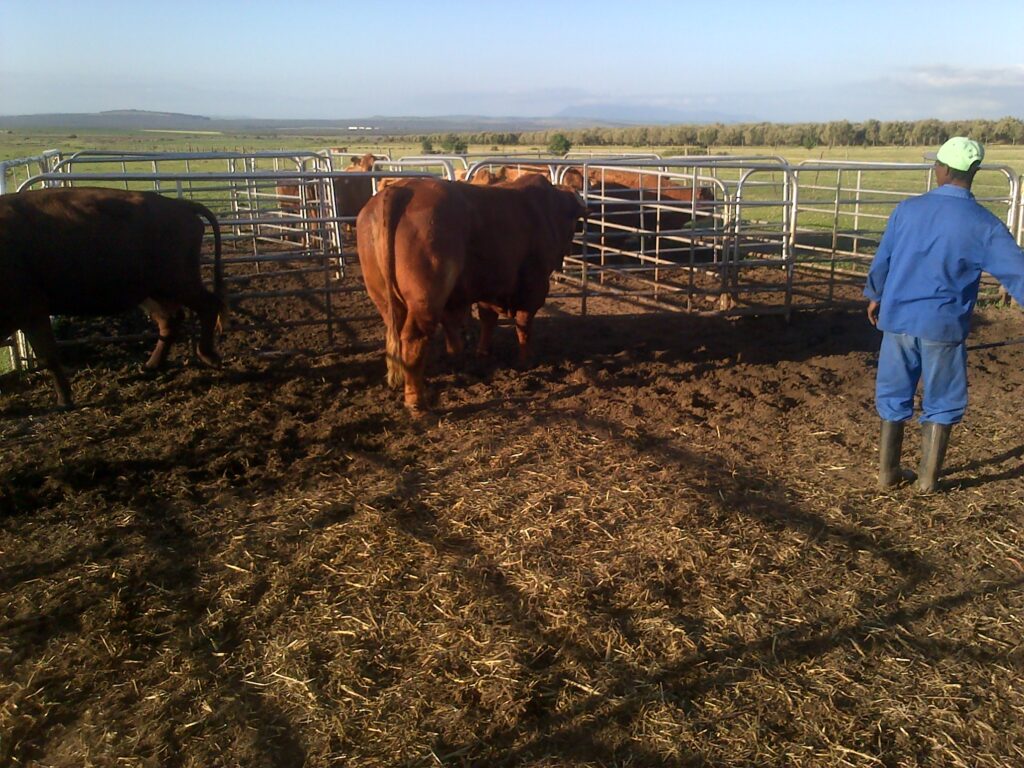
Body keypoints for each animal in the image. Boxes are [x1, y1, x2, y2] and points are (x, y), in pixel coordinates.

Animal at [0, 187, 225, 408]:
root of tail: (181, 205)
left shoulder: (32, 310)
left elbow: (48, 357)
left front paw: (64, 401)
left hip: (178, 282)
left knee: (208, 305)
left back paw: (208, 356)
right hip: (152, 292)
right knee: (169, 320)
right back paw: (150, 366)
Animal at [356, 174, 585, 414]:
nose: (570, 249)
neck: (544, 210)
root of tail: (402, 188)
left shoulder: (489, 290)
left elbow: (488, 320)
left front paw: (482, 353)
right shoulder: (533, 289)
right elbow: (523, 326)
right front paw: (525, 360)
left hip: (383, 298)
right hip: (426, 301)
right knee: (413, 339)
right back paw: (416, 401)